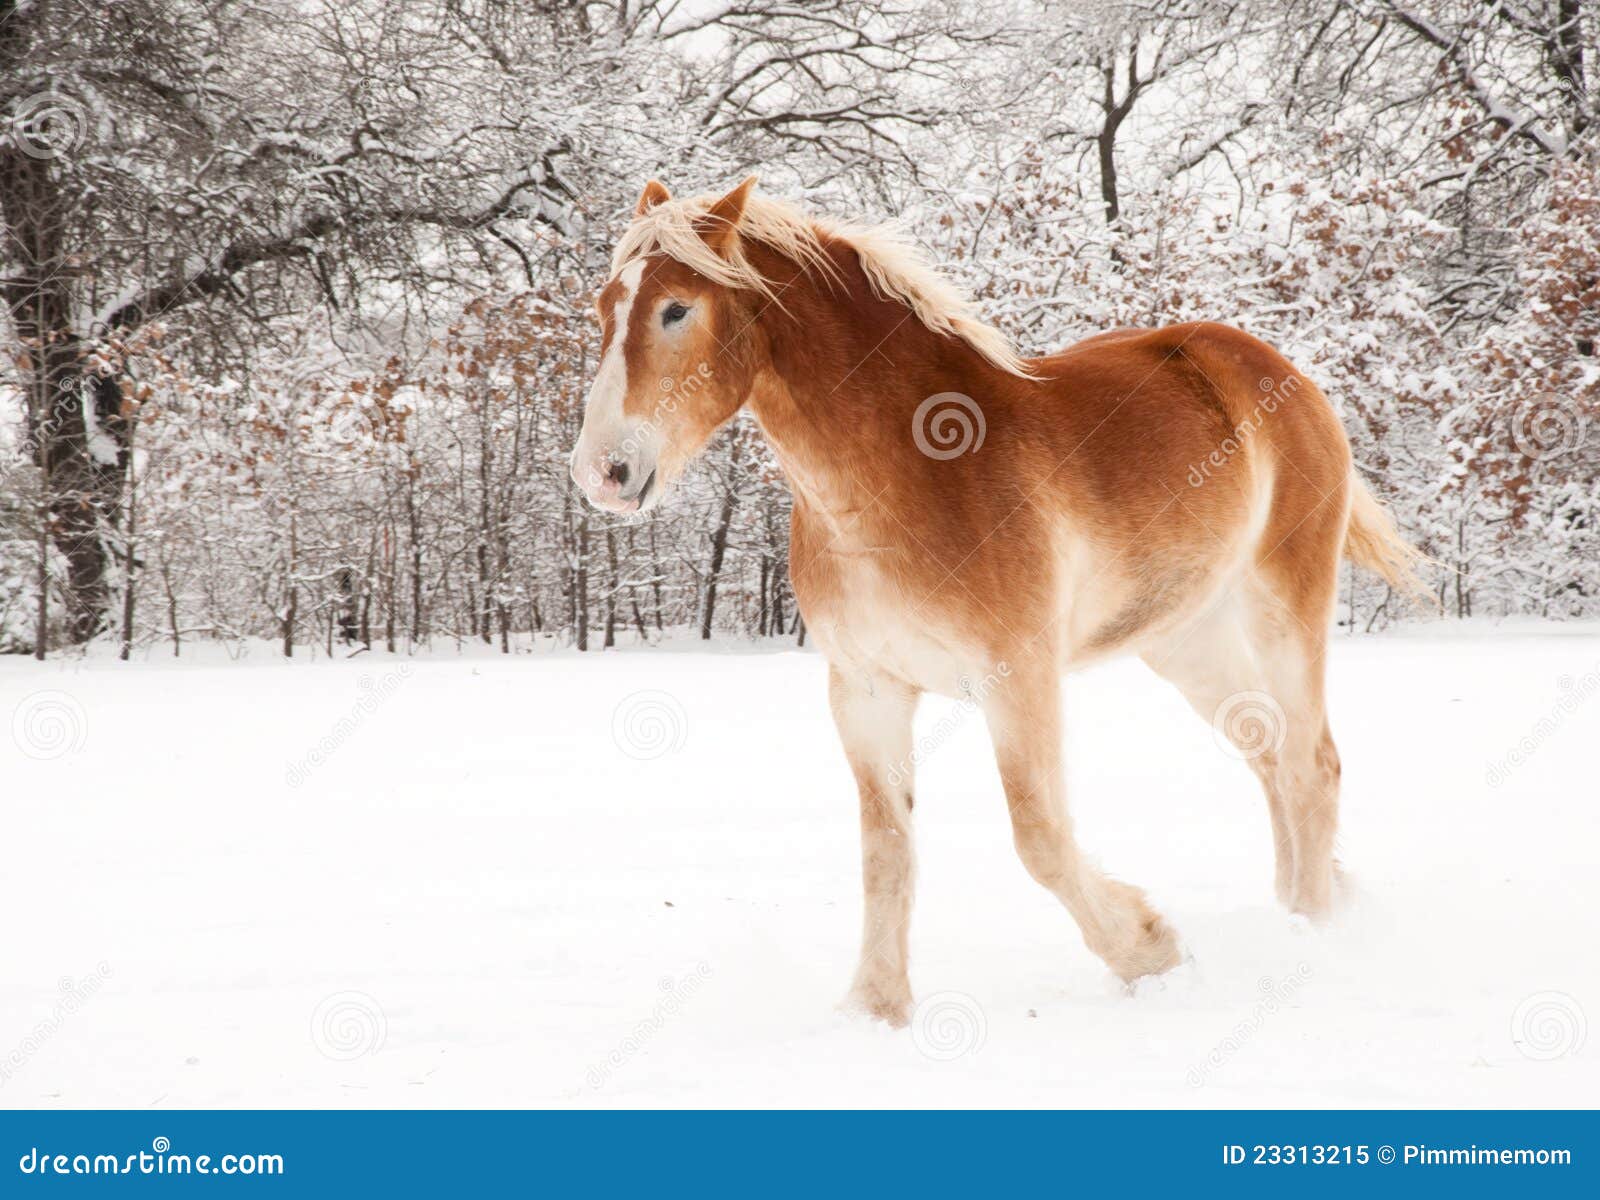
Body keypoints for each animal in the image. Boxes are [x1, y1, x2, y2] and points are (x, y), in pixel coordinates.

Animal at [568, 175, 1423, 1026]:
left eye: (677, 308)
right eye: (604, 306)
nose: (602, 472)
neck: (908, 471)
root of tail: (1286, 375)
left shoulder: (1019, 676)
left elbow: (1039, 838)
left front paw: (1149, 950)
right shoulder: (866, 690)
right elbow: (886, 849)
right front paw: (876, 1008)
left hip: (1283, 605)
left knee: (1312, 762)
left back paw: (1313, 926)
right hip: (1187, 639)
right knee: (1268, 752)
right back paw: (1293, 908)